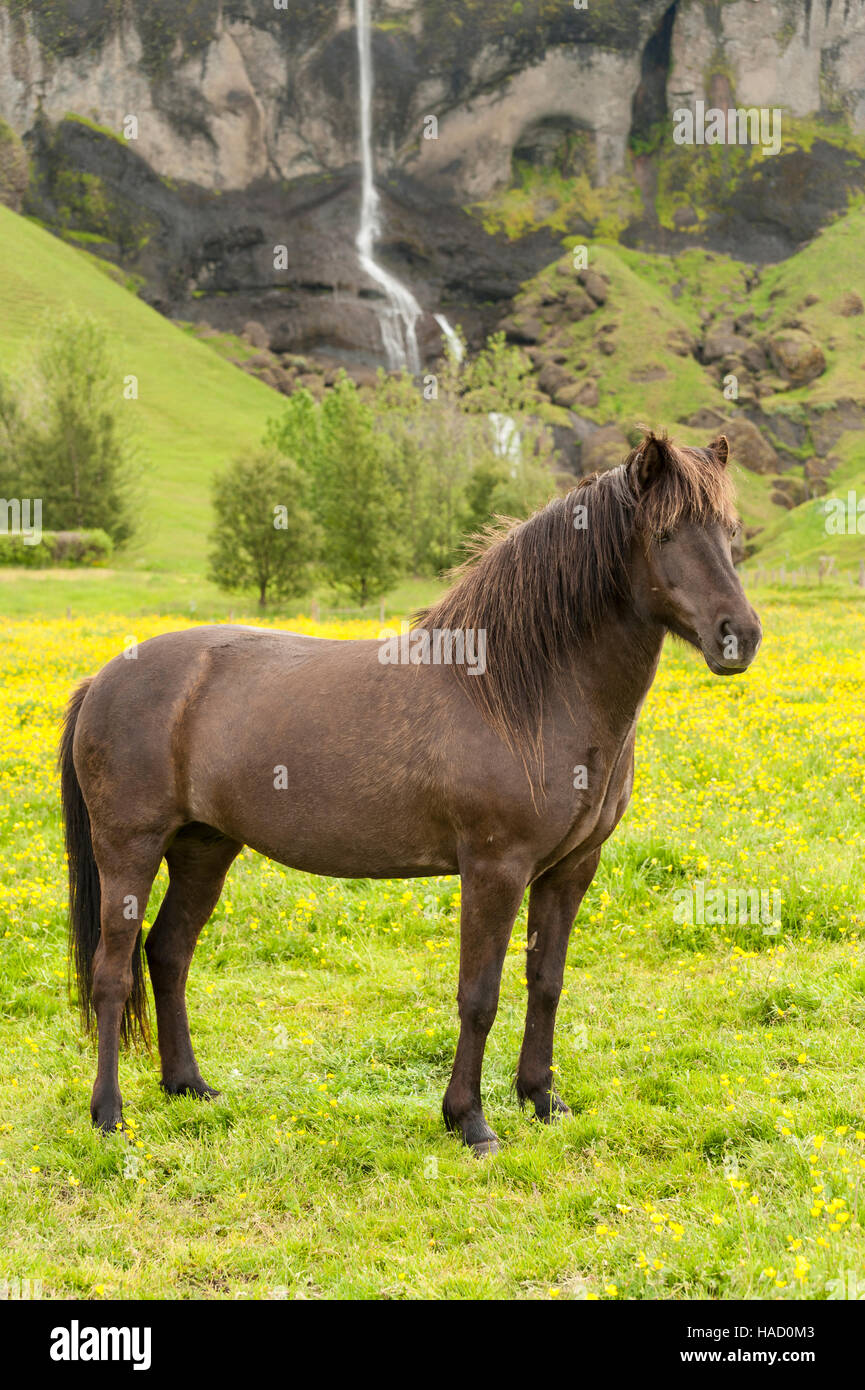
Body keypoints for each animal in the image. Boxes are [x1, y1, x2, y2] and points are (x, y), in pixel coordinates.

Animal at [59, 430, 761, 1155]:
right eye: (665, 532)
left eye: (731, 533)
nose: (738, 636)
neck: (520, 690)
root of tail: (103, 678)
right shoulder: (494, 869)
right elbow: (479, 994)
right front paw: (469, 1121)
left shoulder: (569, 869)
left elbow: (546, 982)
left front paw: (541, 1099)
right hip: (131, 849)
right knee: (114, 972)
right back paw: (109, 1114)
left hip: (204, 848)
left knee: (168, 953)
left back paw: (189, 1085)